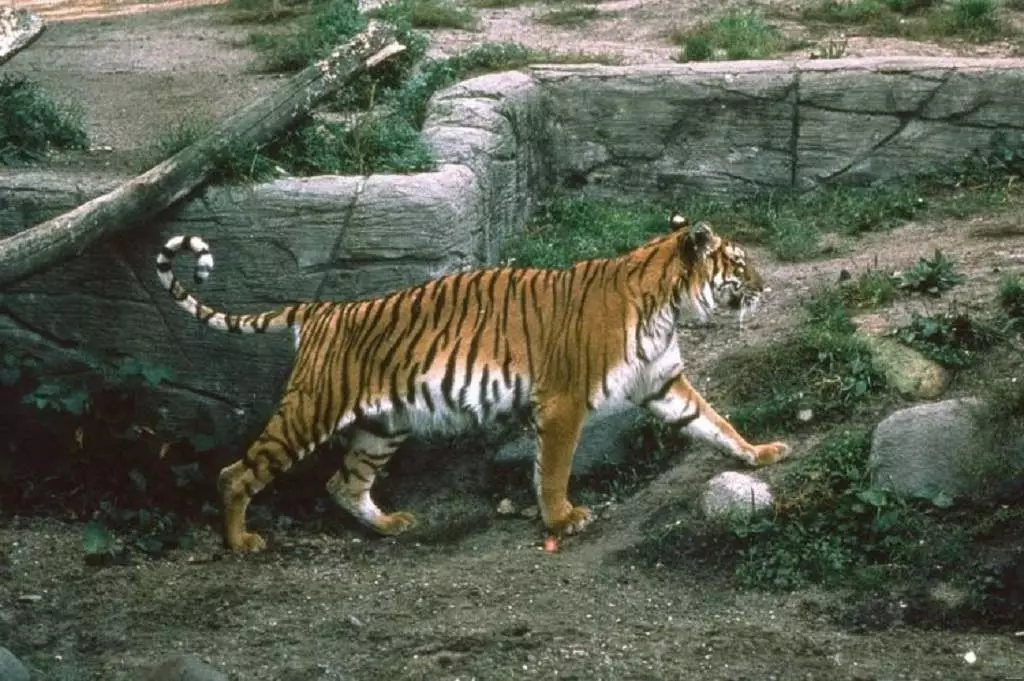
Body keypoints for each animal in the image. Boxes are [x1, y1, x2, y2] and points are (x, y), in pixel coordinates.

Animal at [155, 213, 786, 552]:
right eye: (740, 263)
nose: (766, 287)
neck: (667, 305)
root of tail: (322, 310)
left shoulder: (662, 383)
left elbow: (715, 423)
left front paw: (759, 453)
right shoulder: (563, 403)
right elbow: (553, 469)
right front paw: (562, 518)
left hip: (382, 426)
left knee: (344, 483)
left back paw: (390, 525)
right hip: (310, 410)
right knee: (236, 474)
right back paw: (241, 541)